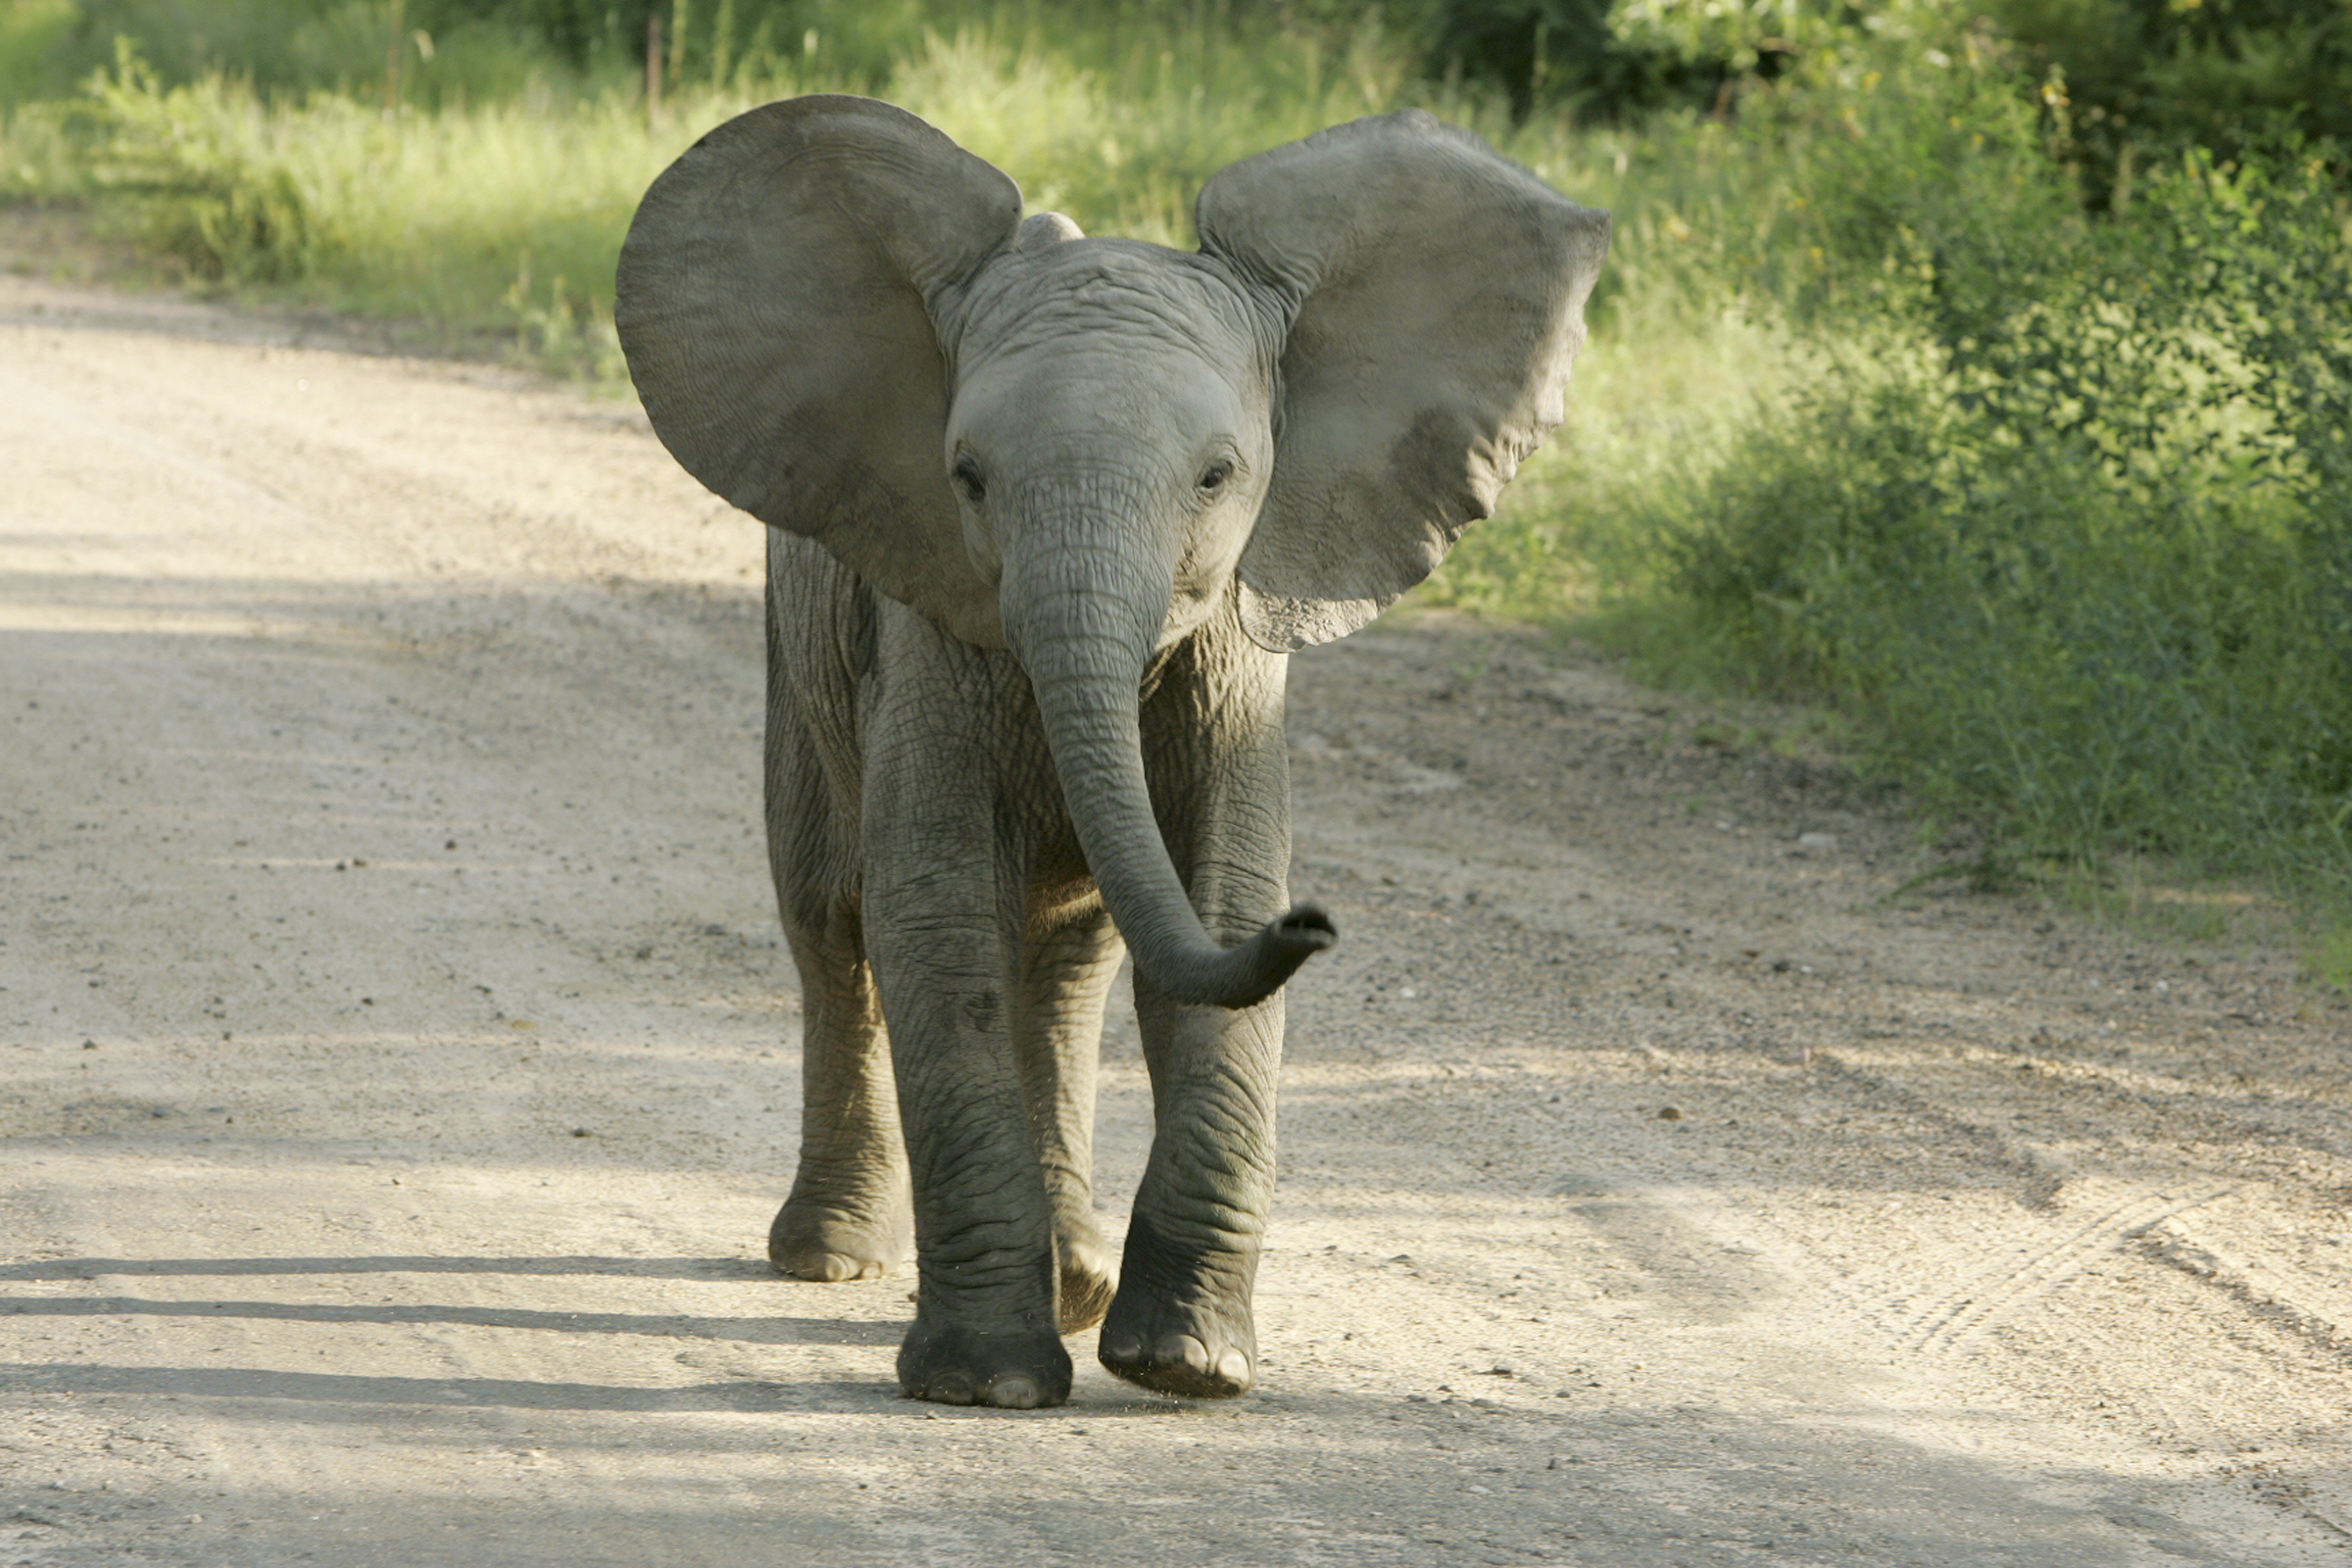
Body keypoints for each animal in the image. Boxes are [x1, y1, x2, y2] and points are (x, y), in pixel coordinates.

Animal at [614, 94, 1608, 1409]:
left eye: (1219, 476)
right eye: (967, 478)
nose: (1317, 923)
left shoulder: (1239, 654)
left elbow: (1217, 894)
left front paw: (1189, 1365)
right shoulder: (927, 626)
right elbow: (935, 907)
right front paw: (986, 1384)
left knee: (1071, 957)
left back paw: (1077, 1282)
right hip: (797, 645)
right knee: (830, 920)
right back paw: (833, 1256)